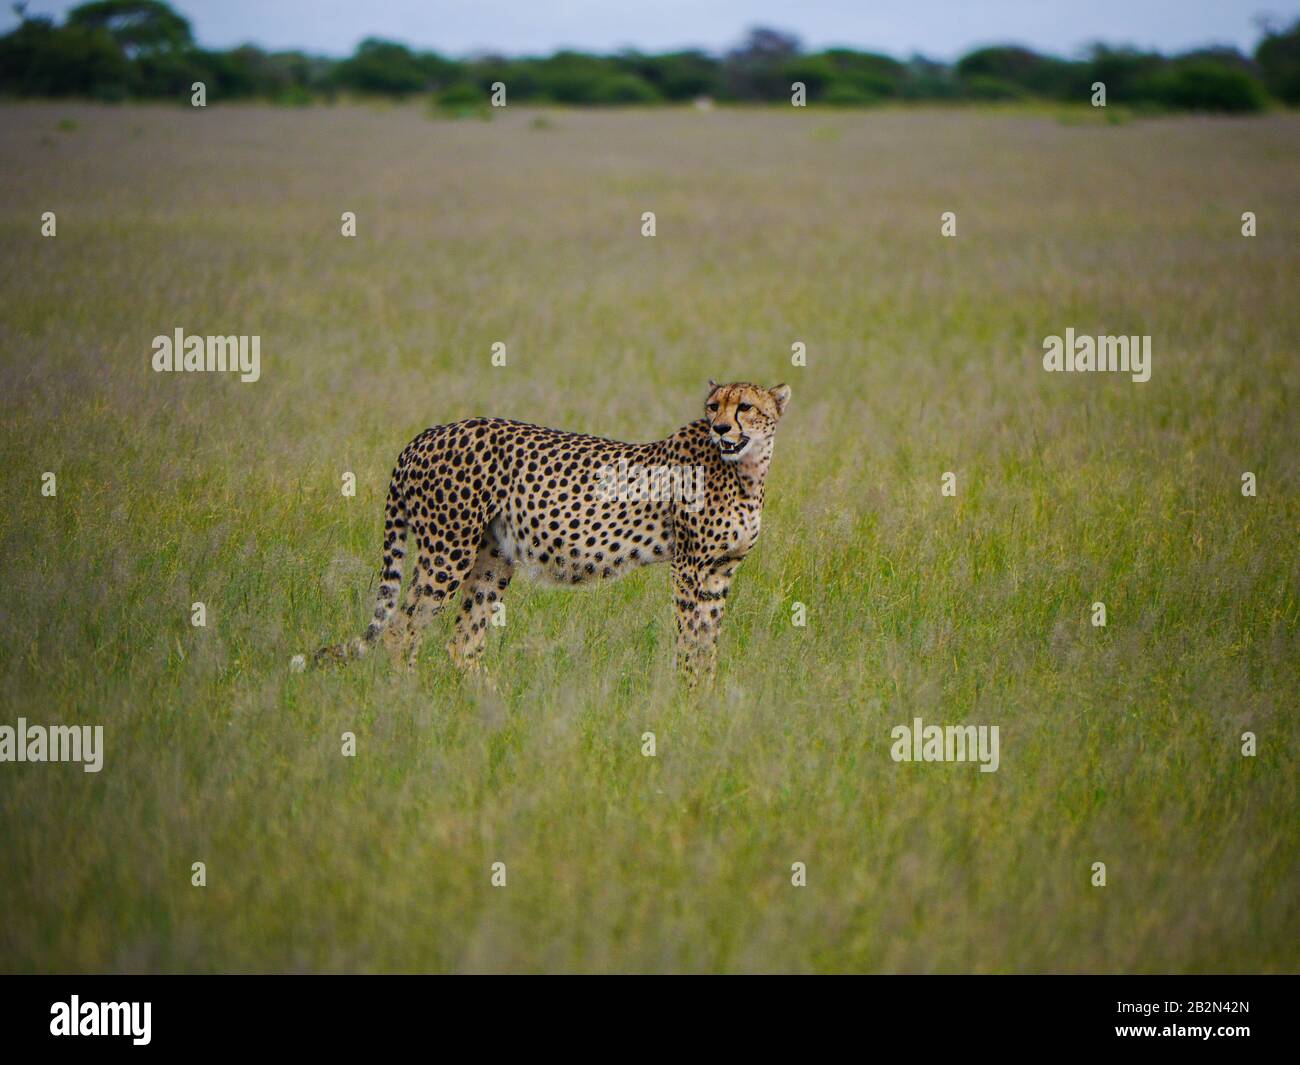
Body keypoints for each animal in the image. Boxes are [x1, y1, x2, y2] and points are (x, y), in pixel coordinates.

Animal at [313, 380, 791, 681]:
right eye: (713, 406)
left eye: (745, 407)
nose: (721, 427)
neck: (745, 470)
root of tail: (428, 433)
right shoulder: (690, 567)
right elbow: (691, 638)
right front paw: (688, 698)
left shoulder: (720, 571)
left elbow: (709, 641)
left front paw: (706, 697)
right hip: (447, 551)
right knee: (401, 632)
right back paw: (410, 701)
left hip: (492, 558)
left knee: (463, 642)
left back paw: (492, 706)